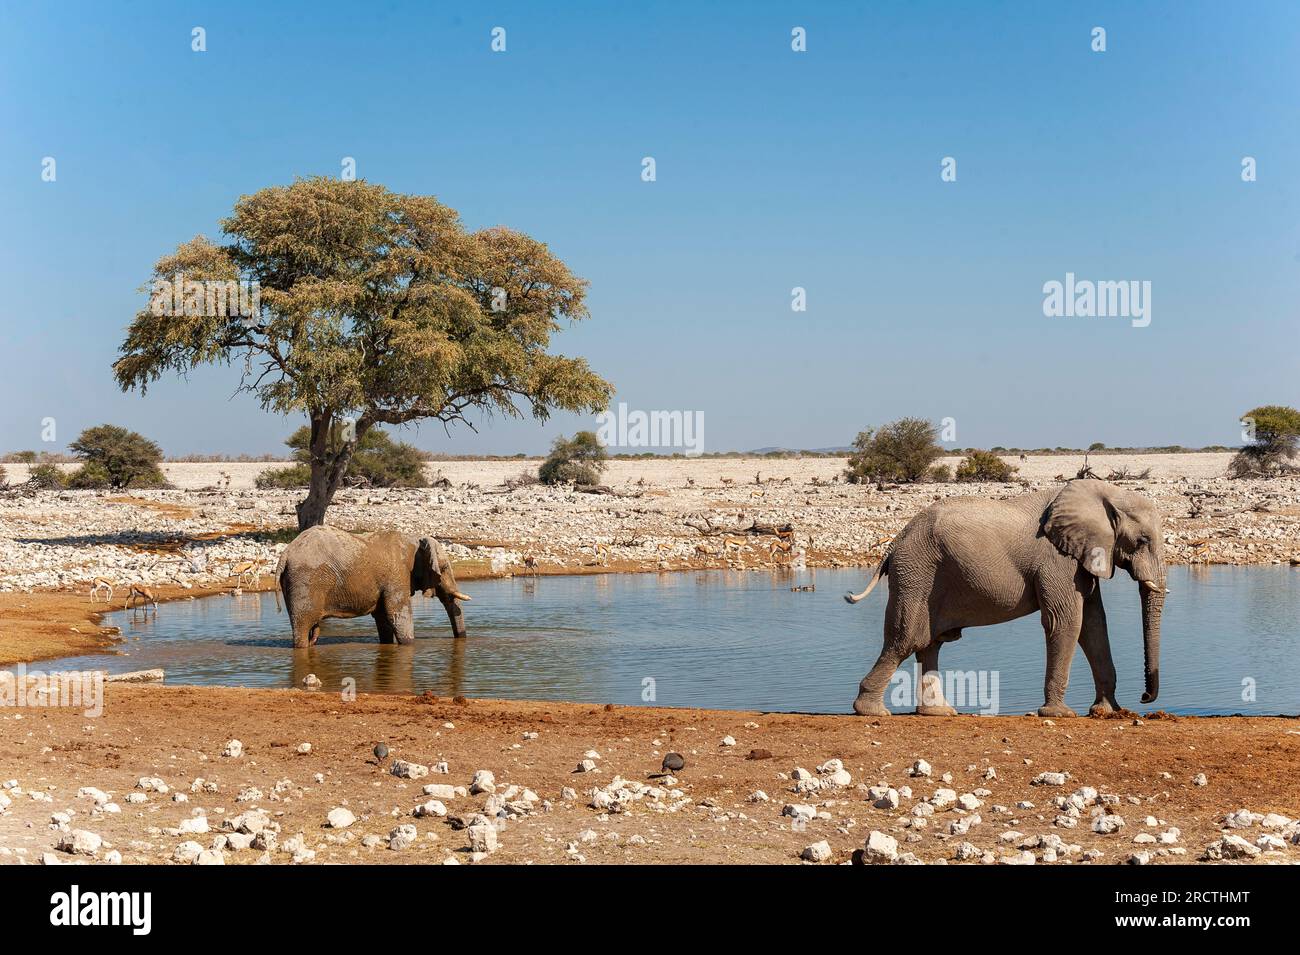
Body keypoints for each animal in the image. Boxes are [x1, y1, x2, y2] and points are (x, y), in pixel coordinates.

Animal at [275, 526, 470, 648]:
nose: (460, 639)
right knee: (302, 628)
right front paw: (409, 645)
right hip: (304, 582)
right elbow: (398, 614)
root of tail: (286, 553)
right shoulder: (396, 575)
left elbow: (383, 617)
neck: (414, 540)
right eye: (443, 569)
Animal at [844, 479, 1166, 718]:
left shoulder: (1082, 556)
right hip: (916, 573)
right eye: (1142, 541)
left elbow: (1094, 623)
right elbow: (1066, 621)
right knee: (906, 640)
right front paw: (1059, 714)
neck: (1104, 493)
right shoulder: (1056, 560)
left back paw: (939, 713)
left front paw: (1107, 712)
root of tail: (895, 541)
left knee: (929, 644)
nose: (1145, 696)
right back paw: (871, 711)